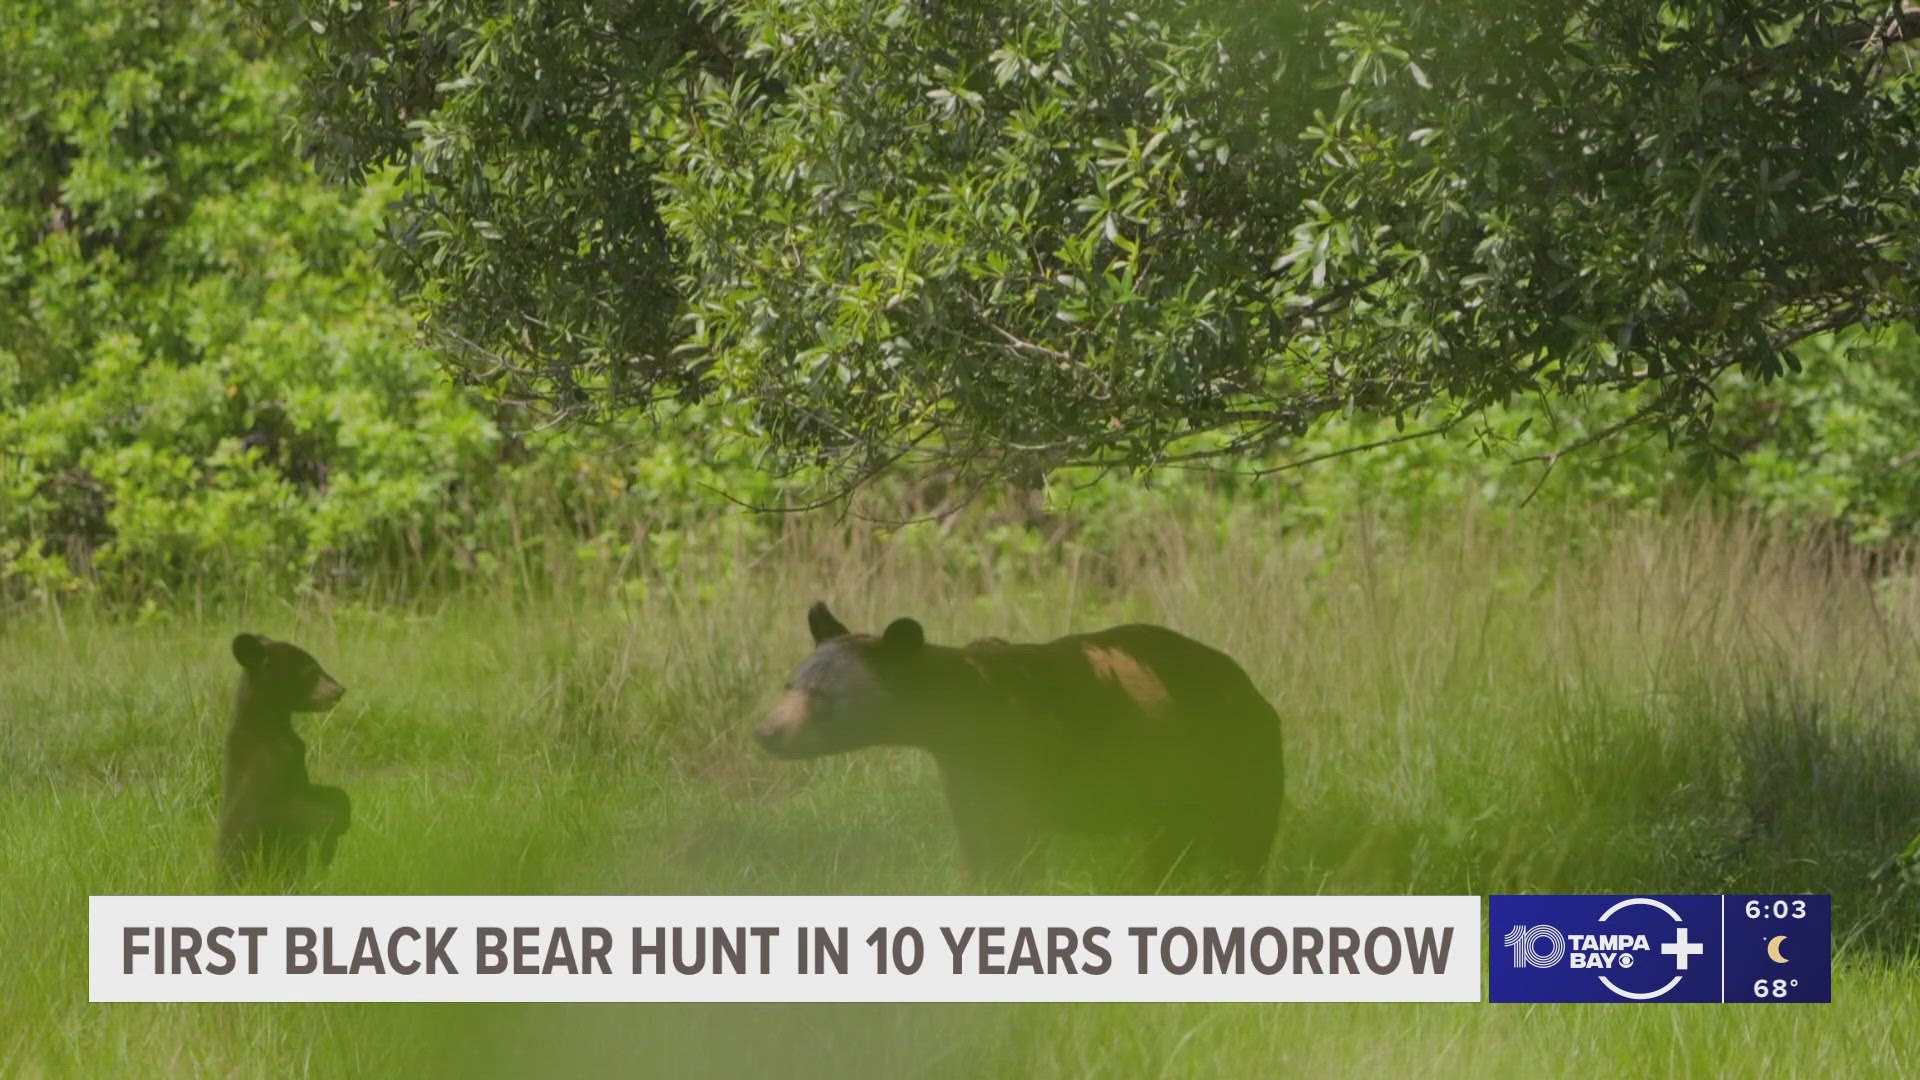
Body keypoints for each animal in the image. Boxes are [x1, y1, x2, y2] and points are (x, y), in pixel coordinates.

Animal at [218, 633, 352, 882]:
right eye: (312, 670)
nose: (340, 690)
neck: (270, 727)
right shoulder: (265, 764)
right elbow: (282, 811)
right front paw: (331, 830)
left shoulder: (295, 759)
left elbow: (320, 792)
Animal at [756, 602, 1284, 890]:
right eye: (790, 684)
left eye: (823, 697)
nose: (766, 731)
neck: (970, 713)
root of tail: (1247, 687)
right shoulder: (965, 773)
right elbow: (979, 838)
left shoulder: (1029, 755)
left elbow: (1020, 844)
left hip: (1229, 758)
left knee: (1243, 839)